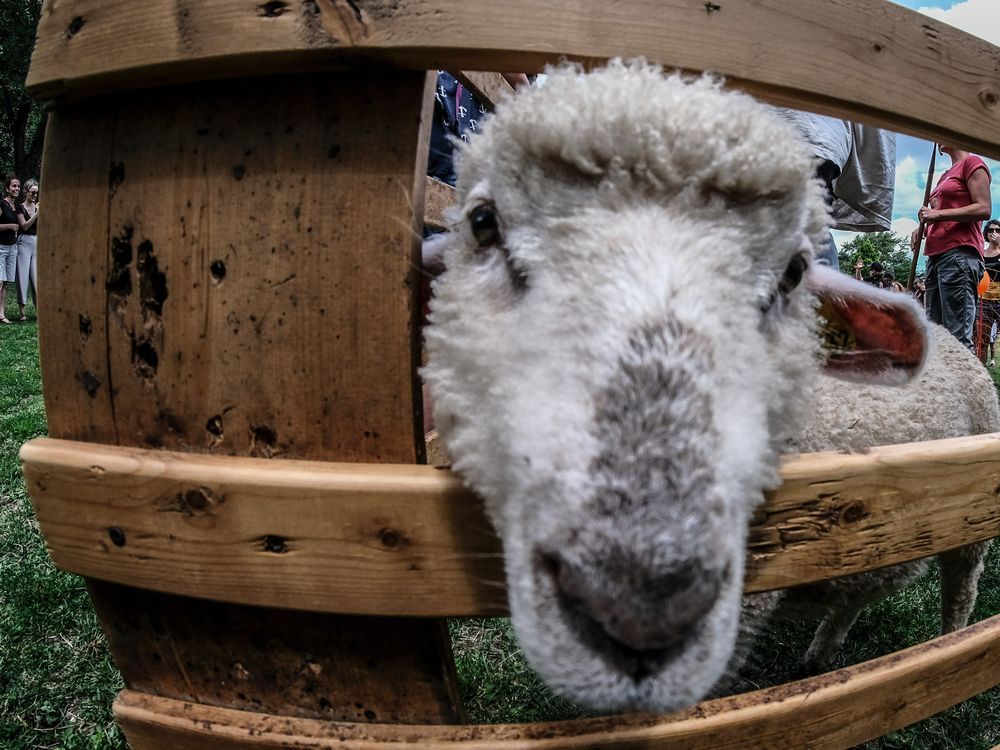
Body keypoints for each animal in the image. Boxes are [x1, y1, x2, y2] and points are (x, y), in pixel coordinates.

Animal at [421, 60, 1000, 713]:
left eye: (793, 273)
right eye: (482, 223)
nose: (641, 602)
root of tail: (949, 336)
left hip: (971, 515)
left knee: (961, 591)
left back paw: (948, 658)